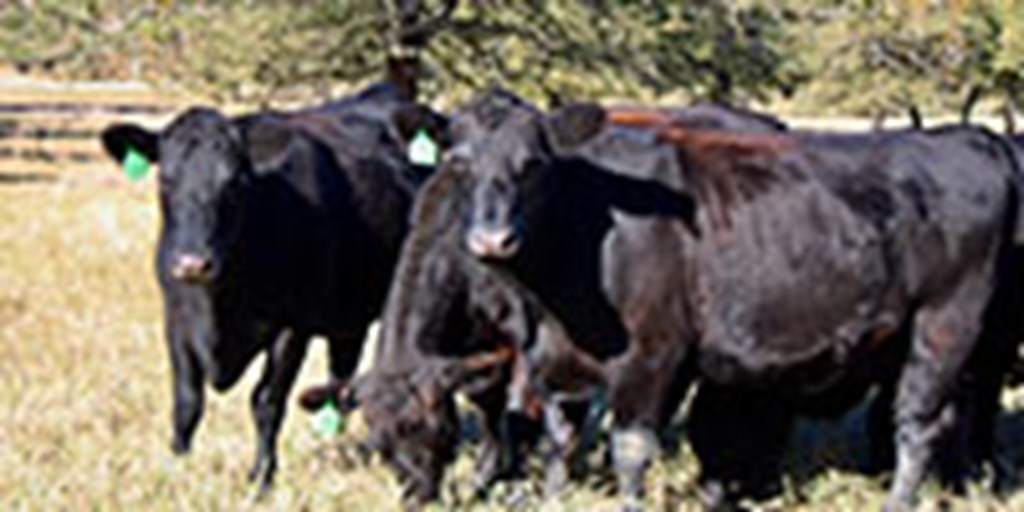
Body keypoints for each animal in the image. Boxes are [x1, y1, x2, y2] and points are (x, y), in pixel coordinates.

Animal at [98, 82, 446, 492]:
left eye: (234, 182)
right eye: (165, 179)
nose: (193, 263)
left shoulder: (293, 327)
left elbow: (266, 401)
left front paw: (262, 476)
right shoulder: (177, 319)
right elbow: (187, 401)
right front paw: (174, 469)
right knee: (342, 368)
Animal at [440, 89, 1021, 511]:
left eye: (534, 163)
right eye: (458, 164)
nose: (492, 240)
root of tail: (968, 140)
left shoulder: (652, 355)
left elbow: (630, 449)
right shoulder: (556, 362)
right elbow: (560, 440)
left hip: (947, 323)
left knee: (919, 424)